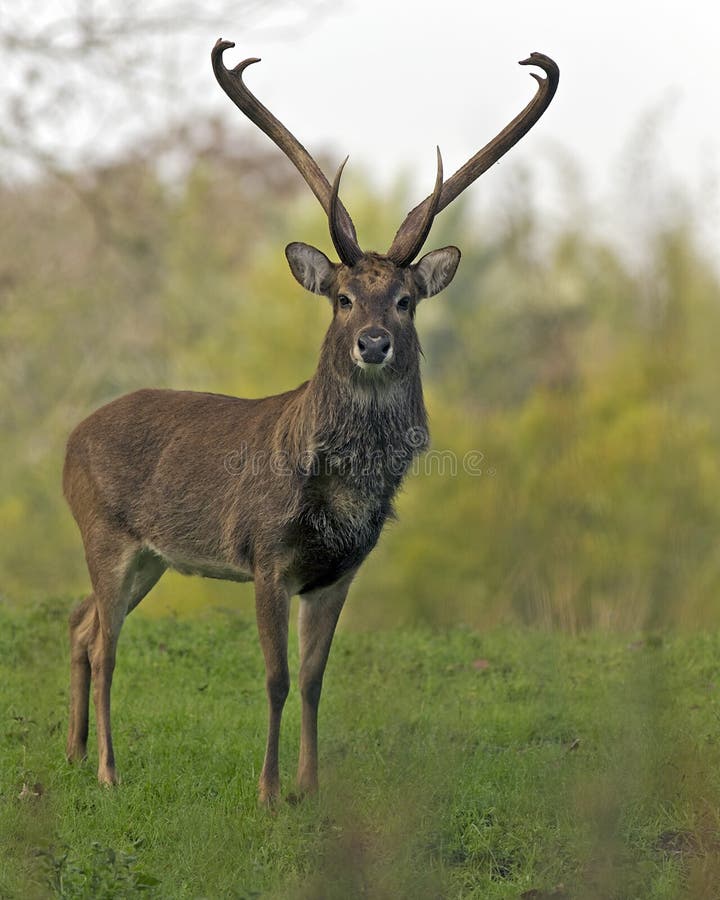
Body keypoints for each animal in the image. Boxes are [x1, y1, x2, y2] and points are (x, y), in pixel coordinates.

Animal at [63, 38, 559, 803]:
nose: (374, 342)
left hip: (151, 556)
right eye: (343, 298)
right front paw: (269, 792)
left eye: (407, 299)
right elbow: (273, 678)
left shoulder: (338, 572)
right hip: (104, 532)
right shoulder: (265, 555)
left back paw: (73, 751)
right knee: (107, 643)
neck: (340, 494)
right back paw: (109, 771)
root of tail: (66, 442)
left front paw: (311, 786)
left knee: (81, 624)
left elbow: (316, 679)